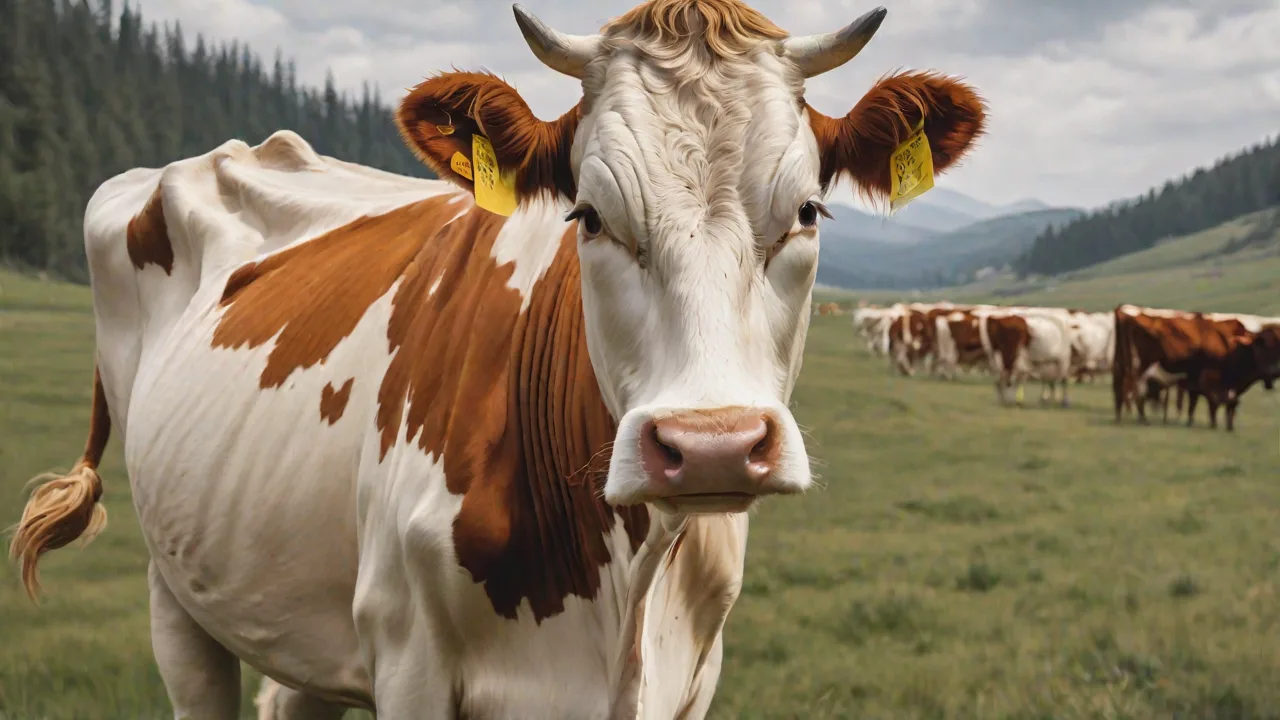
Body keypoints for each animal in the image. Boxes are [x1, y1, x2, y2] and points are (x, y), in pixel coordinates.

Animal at [8, 2, 985, 718]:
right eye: (588, 214)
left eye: (809, 211)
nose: (711, 446)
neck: (620, 598)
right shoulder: (410, 665)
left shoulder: (692, 678)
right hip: (177, 593)